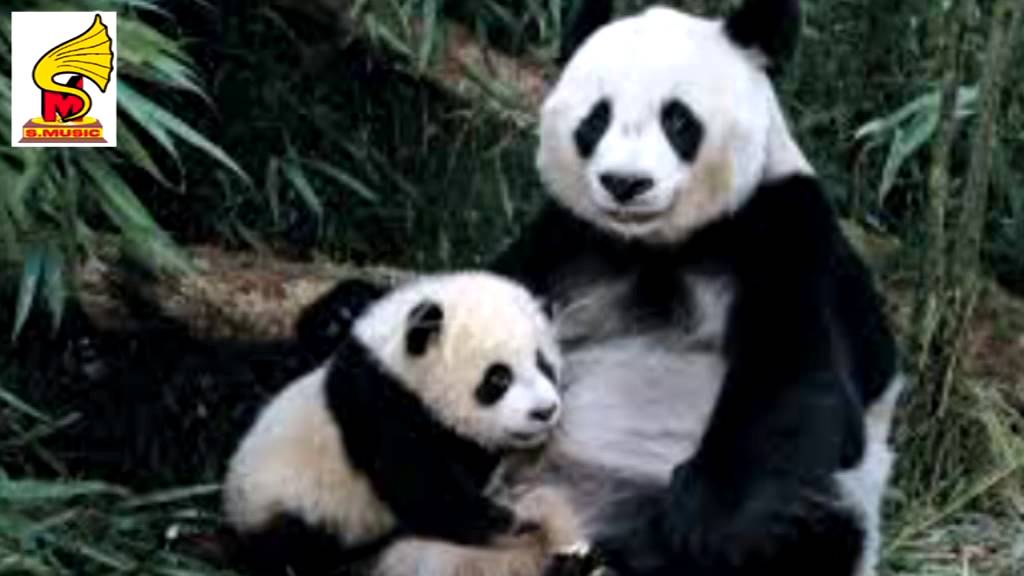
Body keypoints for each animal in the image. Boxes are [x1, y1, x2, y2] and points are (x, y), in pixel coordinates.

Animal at [222, 271, 585, 575]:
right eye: (498, 379)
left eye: (544, 365)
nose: (545, 411)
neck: (395, 364)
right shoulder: (383, 410)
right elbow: (428, 492)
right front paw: (510, 522)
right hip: (290, 500)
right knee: (296, 547)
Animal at [375, 1, 903, 576]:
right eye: (596, 118)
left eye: (677, 119)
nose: (625, 183)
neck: (656, 243)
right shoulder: (565, 238)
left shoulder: (788, 230)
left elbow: (802, 380)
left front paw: (697, 526)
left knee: (809, 520)